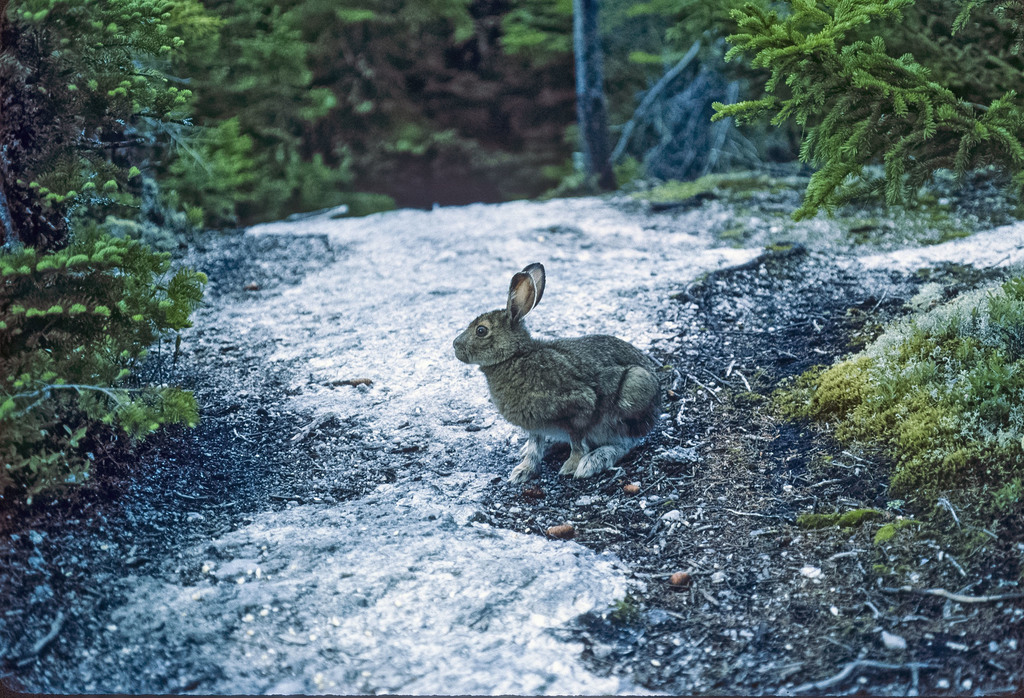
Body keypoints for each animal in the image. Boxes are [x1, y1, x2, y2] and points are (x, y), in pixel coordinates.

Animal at [453, 262, 661, 482]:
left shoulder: (579, 407)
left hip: (632, 393)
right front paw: (523, 471)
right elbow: (534, 446)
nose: (455, 346)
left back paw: (593, 461)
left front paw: (571, 466)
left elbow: (577, 441)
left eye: (481, 330)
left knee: (627, 442)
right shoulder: (534, 425)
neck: (515, 356)